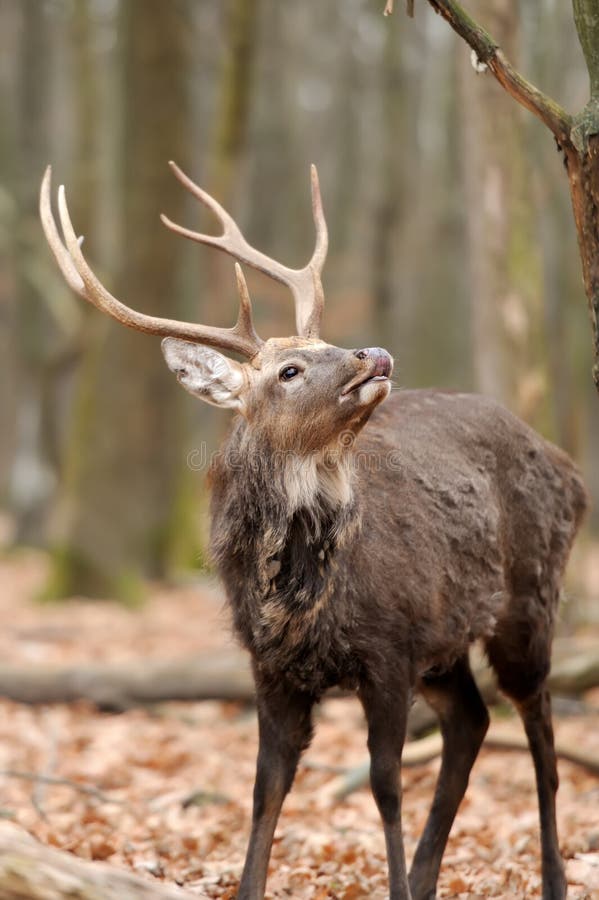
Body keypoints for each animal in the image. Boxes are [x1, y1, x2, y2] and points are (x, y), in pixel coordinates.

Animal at [40, 161, 587, 900]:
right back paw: (429, 876)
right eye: (289, 370)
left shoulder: (388, 649)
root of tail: (568, 468)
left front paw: (392, 887)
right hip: (446, 644)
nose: (373, 353)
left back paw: (551, 879)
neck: (300, 604)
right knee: (471, 723)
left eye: (326, 346)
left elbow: (384, 786)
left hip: (529, 599)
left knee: (540, 734)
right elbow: (265, 788)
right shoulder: (270, 666)